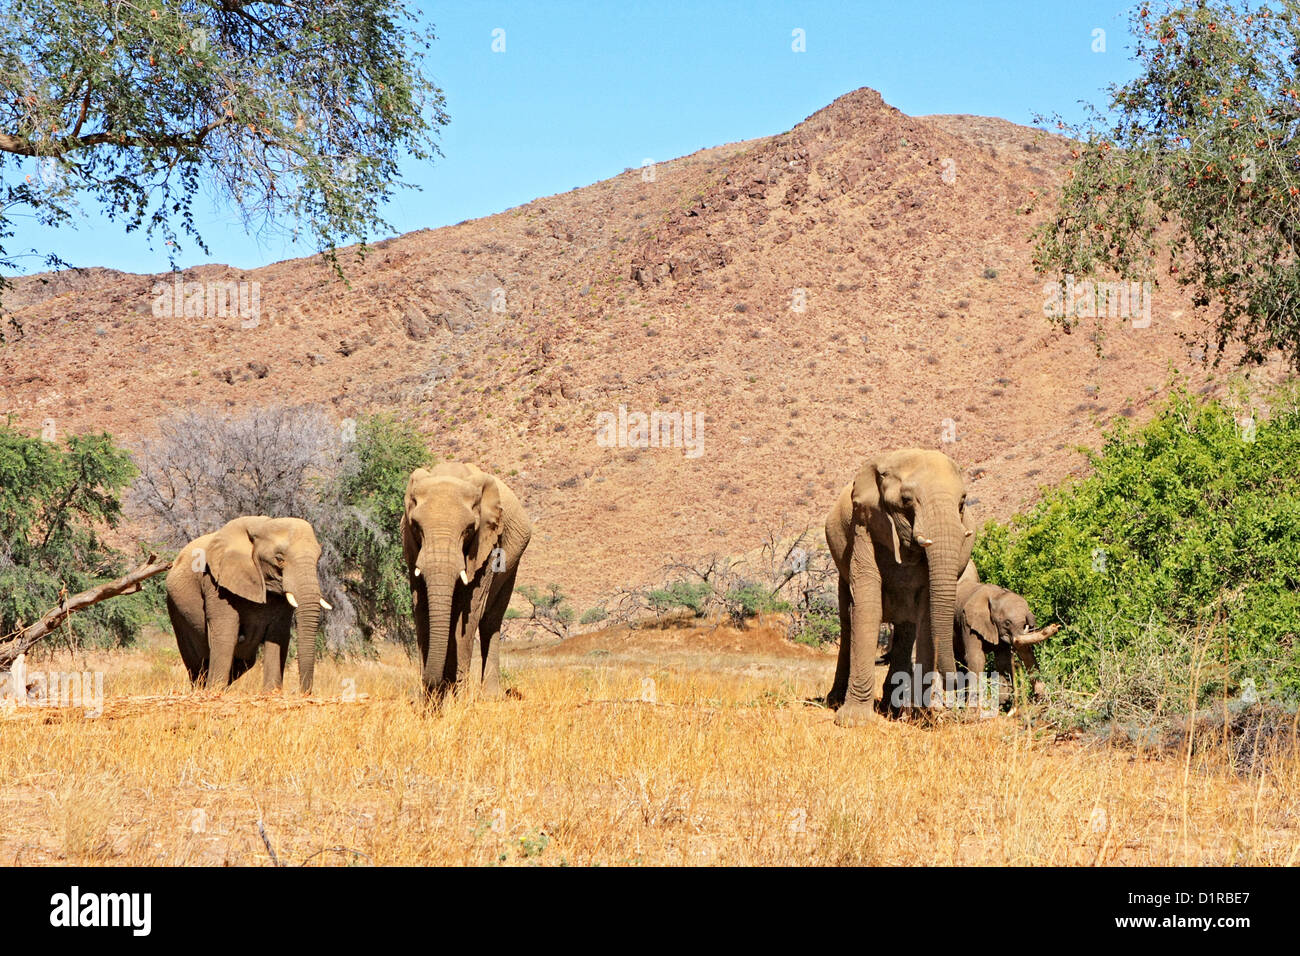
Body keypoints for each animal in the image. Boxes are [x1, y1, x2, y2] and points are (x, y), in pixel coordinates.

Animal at [165, 516, 330, 693]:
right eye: (279, 559)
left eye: (318, 558)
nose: (302, 693)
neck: (263, 526)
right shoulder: (215, 584)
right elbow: (226, 633)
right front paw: (215, 691)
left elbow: (278, 636)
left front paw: (271, 693)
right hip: (176, 610)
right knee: (197, 661)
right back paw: (201, 689)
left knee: (243, 661)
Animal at [401, 463, 532, 700]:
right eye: (416, 527)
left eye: (469, 529)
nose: (427, 684)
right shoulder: (410, 547)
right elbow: (421, 609)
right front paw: (431, 699)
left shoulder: (487, 545)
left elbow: (468, 612)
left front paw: (458, 698)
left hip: (512, 562)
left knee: (491, 621)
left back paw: (490, 697)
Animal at [825, 449, 974, 725]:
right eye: (906, 500)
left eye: (962, 503)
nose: (956, 706)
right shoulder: (865, 524)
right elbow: (868, 605)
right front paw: (854, 720)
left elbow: (928, 616)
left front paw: (921, 719)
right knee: (847, 621)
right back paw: (836, 701)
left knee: (907, 629)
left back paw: (893, 709)